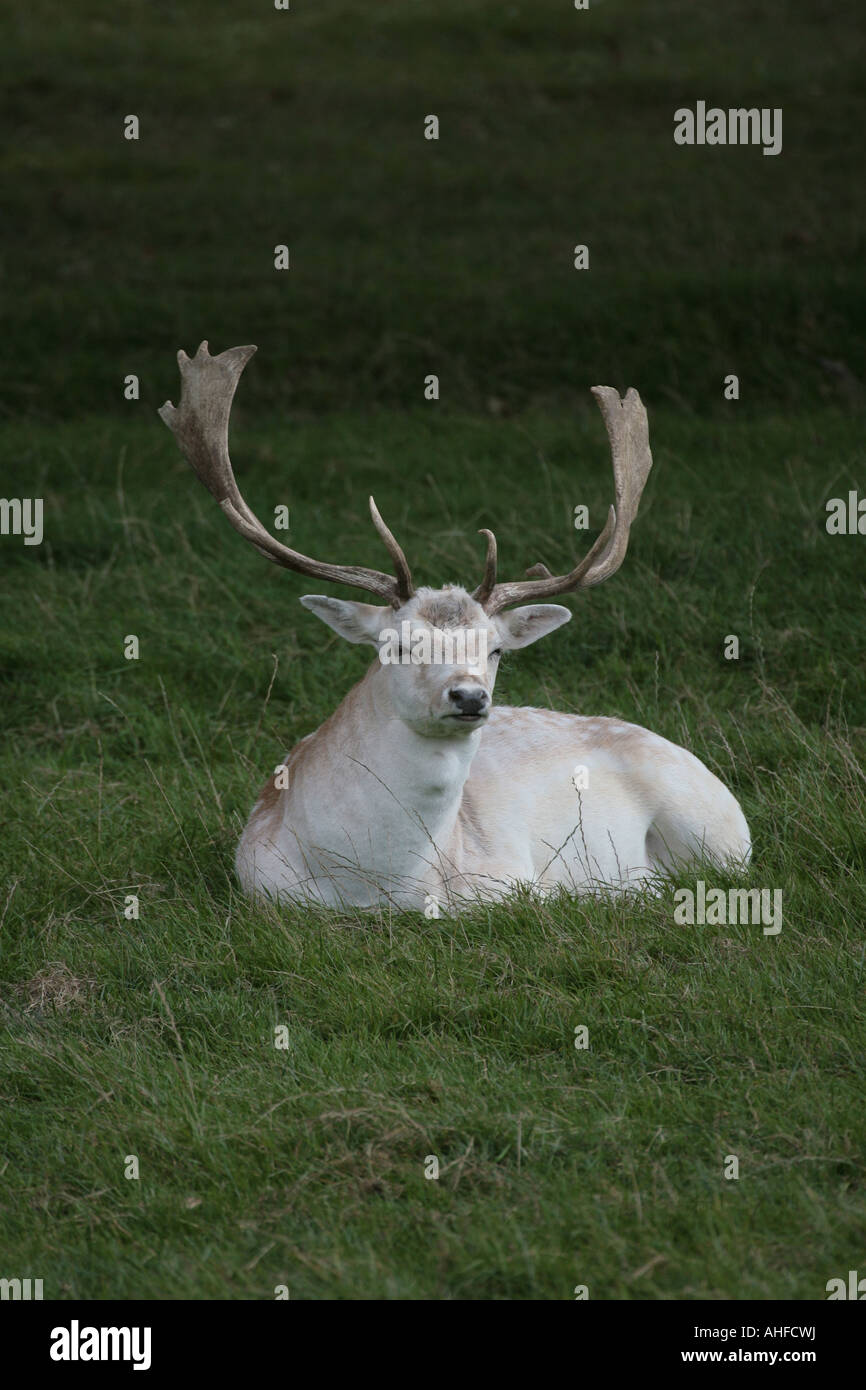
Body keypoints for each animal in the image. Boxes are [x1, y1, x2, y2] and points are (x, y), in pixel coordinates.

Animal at [159, 342, 751, 912]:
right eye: (397, 645)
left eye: (496, 650)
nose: (468, 696)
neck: (374, 888)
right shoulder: (258, 883)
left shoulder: (510, 879)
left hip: (716, 829)